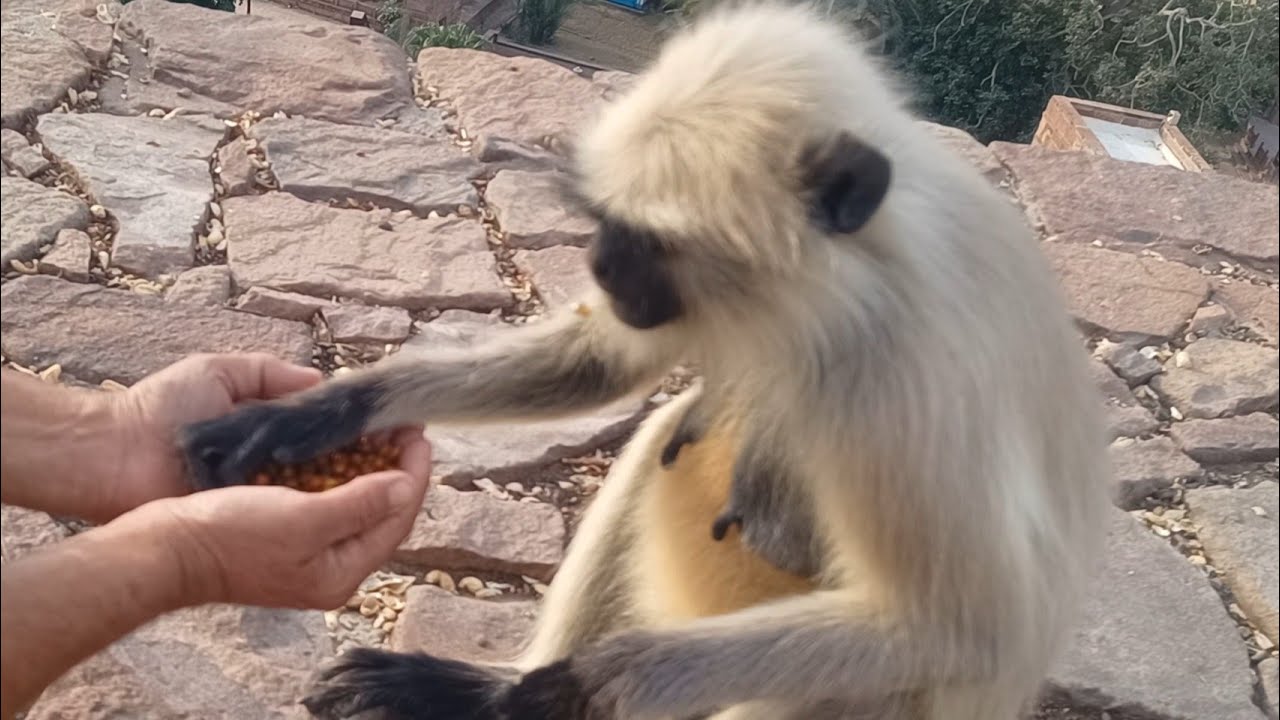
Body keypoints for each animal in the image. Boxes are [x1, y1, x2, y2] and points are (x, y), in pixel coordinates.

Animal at [177, 3, 1110, 719]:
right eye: (603, 225)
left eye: (645, 242)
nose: (598, 265)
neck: (857, 275)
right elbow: (605, 363)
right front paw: (313, 416)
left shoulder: (908, 374)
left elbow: (970, 631)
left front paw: (562, 697)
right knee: (662, 438)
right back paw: (484, 691)